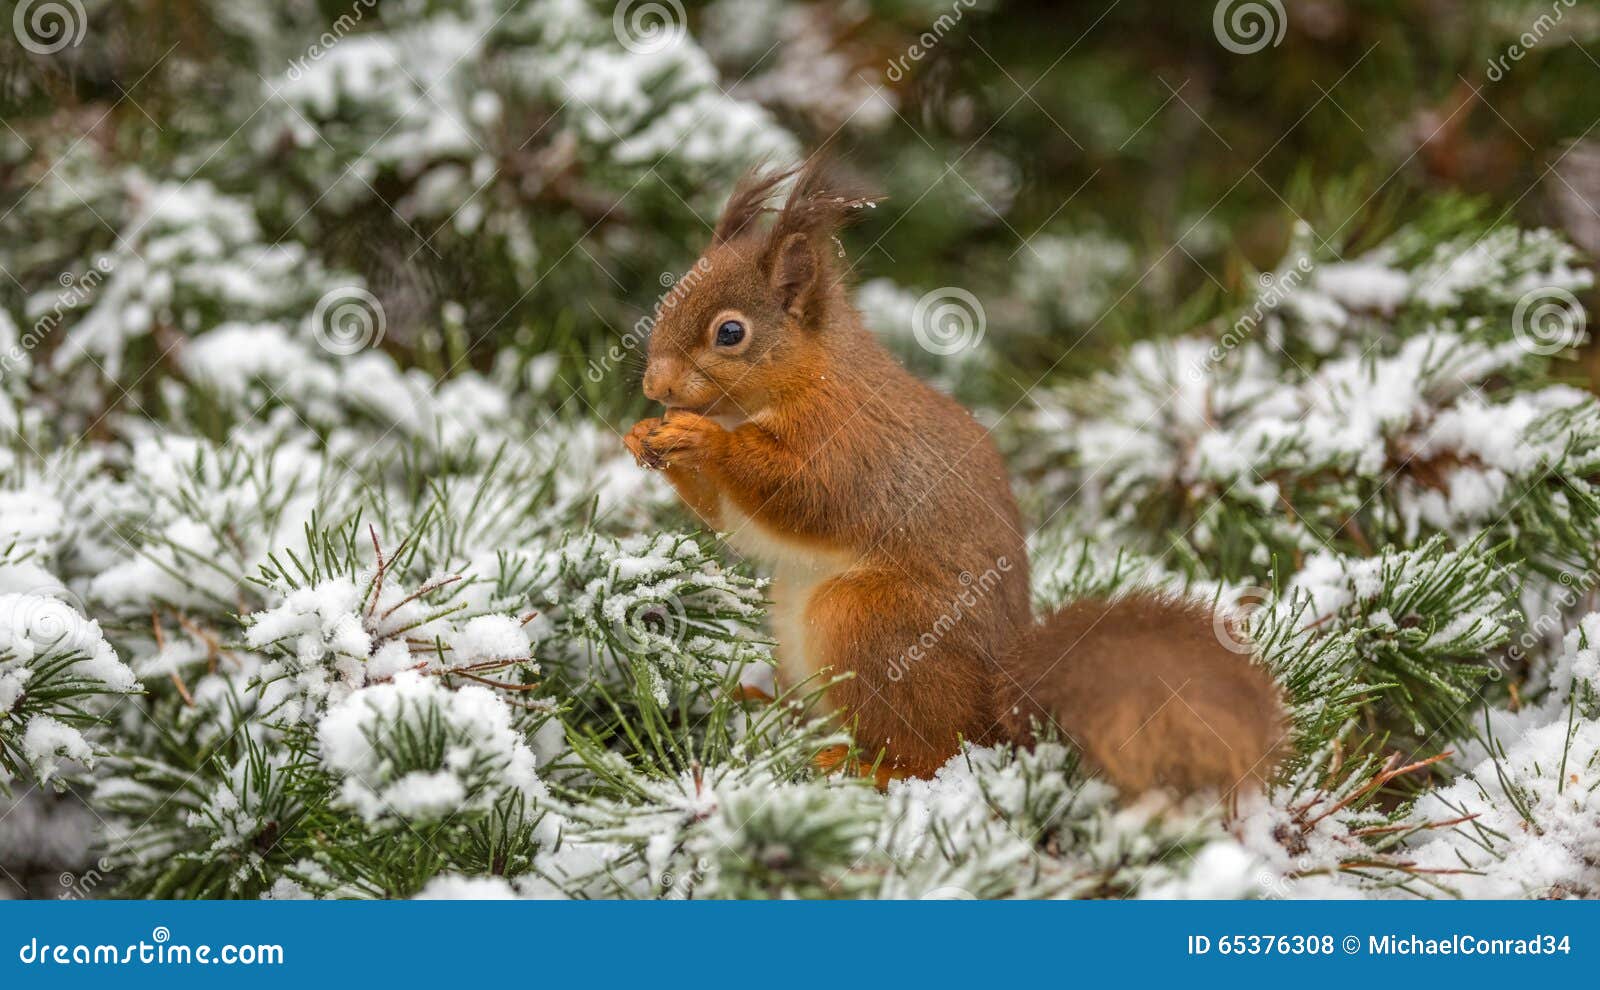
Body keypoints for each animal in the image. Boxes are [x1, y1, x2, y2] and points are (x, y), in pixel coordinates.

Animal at [622, 159, 1286, 796]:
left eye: (730, 333)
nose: (655, 385)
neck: (805, 378)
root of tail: (993, 706)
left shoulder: (851, 446)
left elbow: (803, 496)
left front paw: (705, 441)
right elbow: (732, 523)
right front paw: (643, 435)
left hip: (869, 627)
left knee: (933, 752)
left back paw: (861, 765)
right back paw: (768, 708)